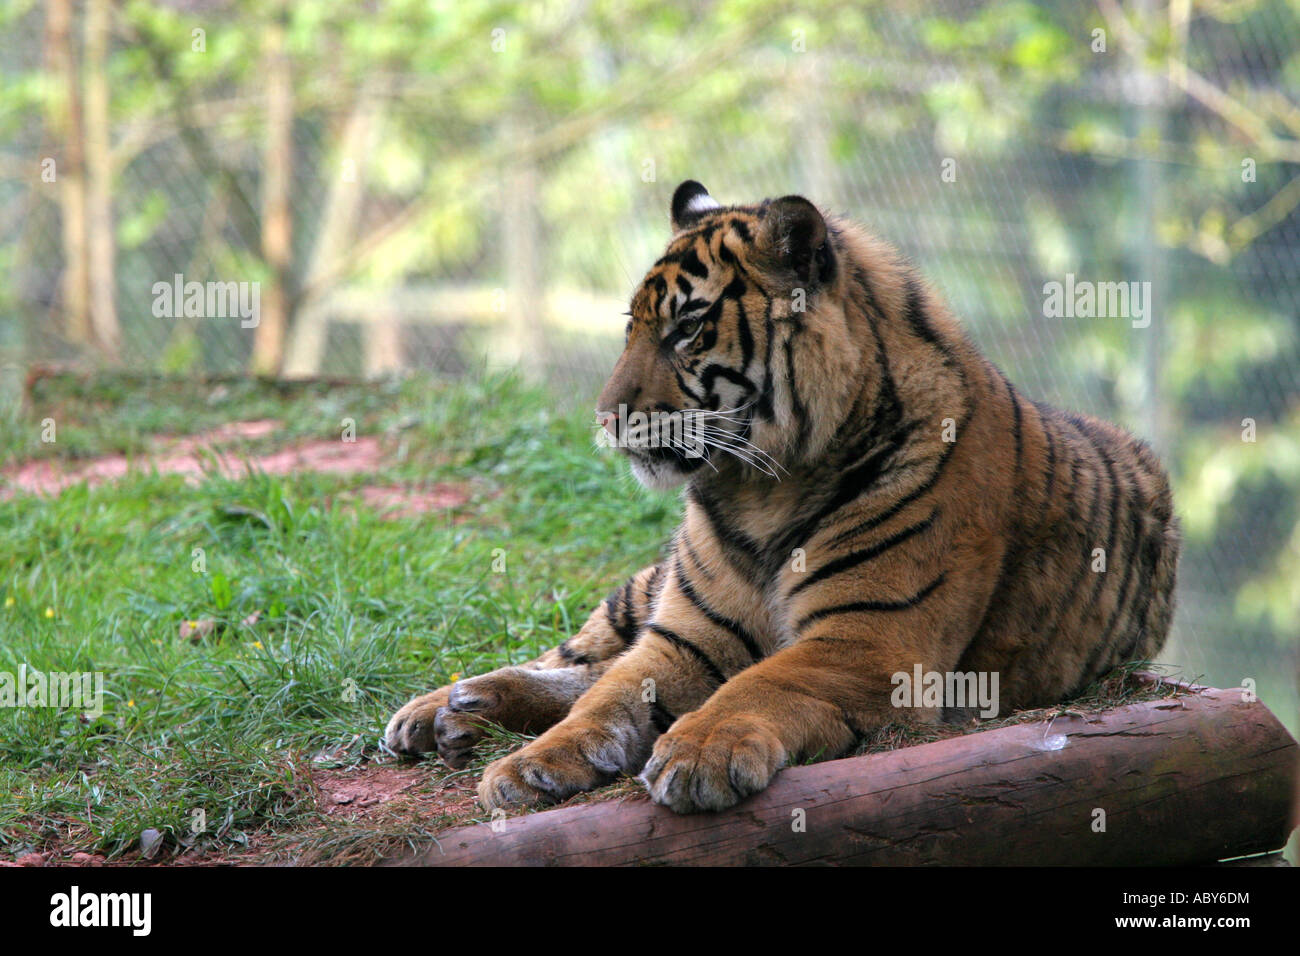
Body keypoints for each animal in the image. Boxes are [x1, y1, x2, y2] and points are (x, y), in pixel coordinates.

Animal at [385, 180, 1181, 814]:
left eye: (687, 327)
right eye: (631, 327)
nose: (606, 419)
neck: (761, 486)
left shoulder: (867, 639)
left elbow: (757, 686)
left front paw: (698, 753)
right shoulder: (687, 632)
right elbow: (607, 698)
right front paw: (528, 767)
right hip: (645, 589)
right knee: (583, 658)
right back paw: (440, 708)